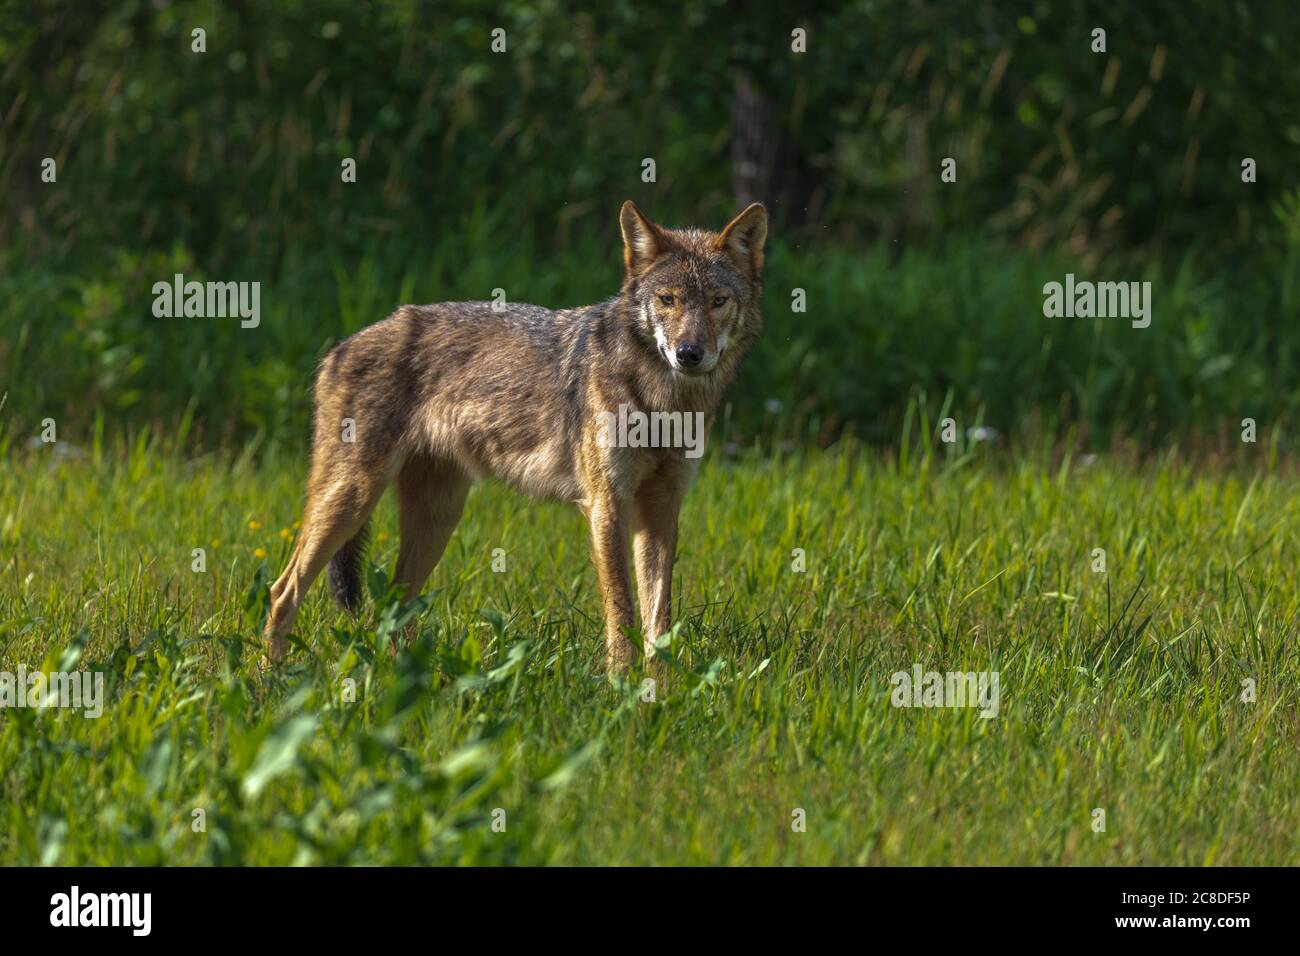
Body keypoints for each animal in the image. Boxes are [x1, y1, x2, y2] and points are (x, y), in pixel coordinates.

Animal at [264, 201, 767, 672]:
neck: (663, 401)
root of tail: (339, 347)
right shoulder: (606, 505)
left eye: (718, 300)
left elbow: (657, 619)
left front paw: (658, 689)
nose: (689, 353)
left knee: (392, 608)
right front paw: (620, 685)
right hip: (351, 501)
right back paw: (273, 683)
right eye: (668, 299)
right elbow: (622, 611)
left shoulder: (662, 507)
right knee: (282, 591)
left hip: (436, 520)